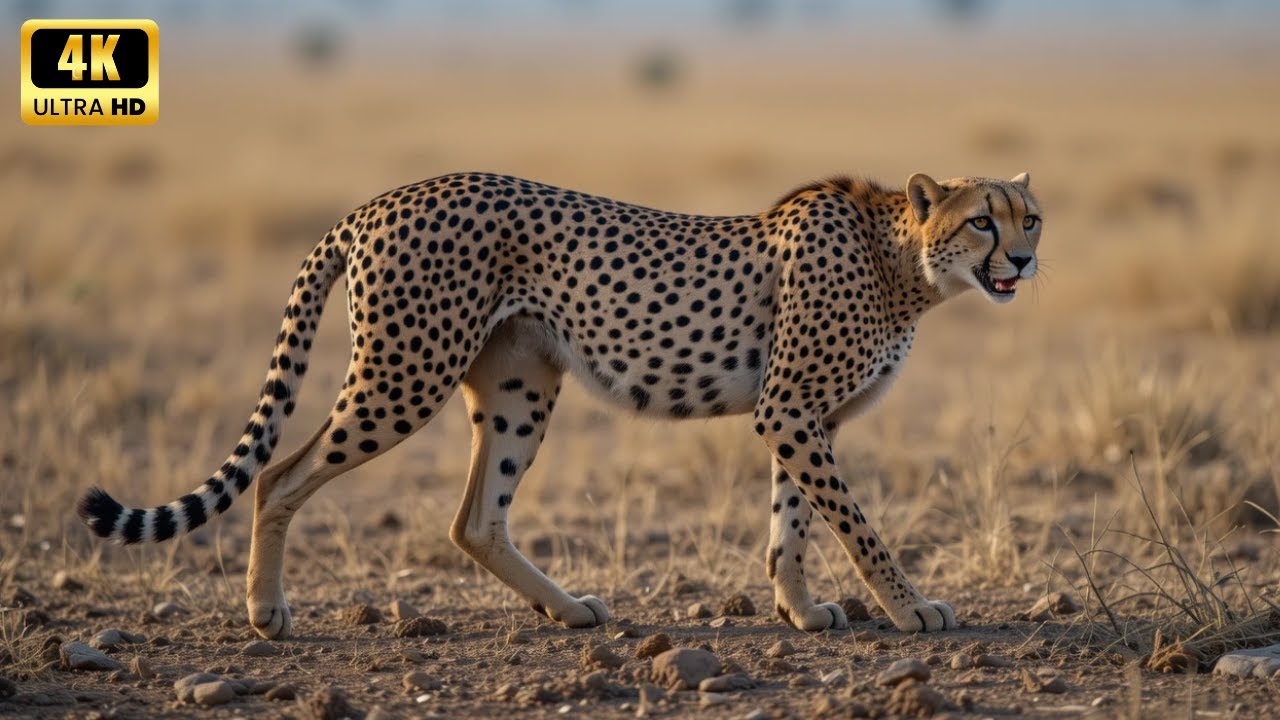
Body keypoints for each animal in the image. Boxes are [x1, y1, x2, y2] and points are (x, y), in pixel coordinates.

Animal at [78, 170, 1042, 639]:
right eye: (981, 220)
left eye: (1029, 215)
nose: (1026, 260)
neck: (904, 260)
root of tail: (379, 200)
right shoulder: (792, 411)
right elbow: (856, 527)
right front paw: (911, 610)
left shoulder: (804, 417)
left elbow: (792, 527)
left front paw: (801, 612)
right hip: (403, 374)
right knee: (279, 474)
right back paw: (266, 615)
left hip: (517, 386)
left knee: (474, 519)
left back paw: (570, 609)